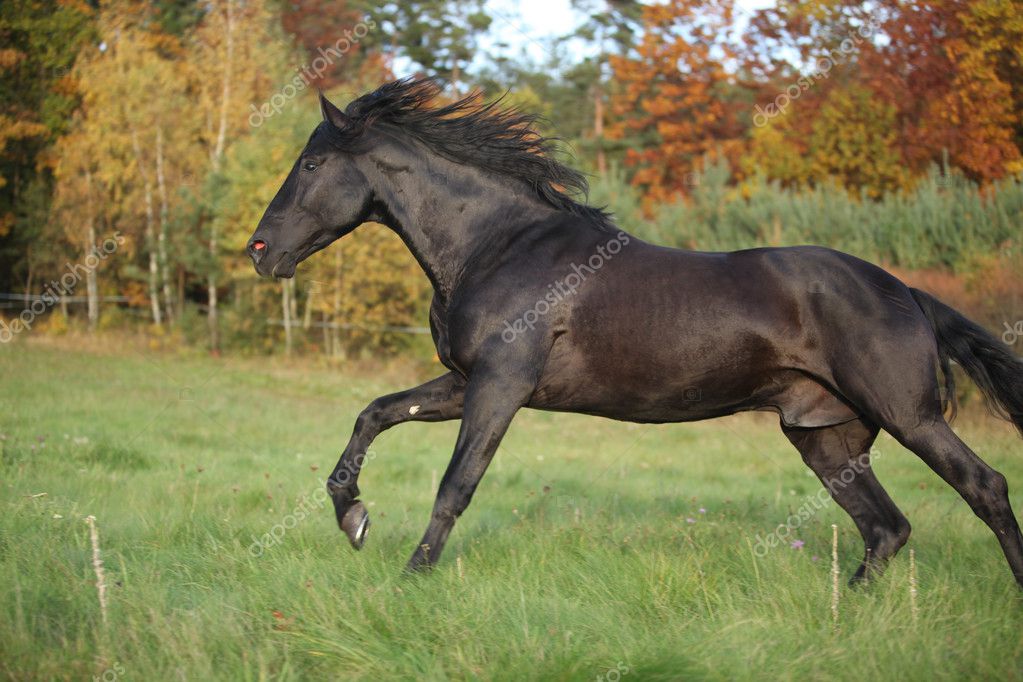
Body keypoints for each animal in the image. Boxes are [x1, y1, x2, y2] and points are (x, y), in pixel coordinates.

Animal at [247, 77, 1023, 585]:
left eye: (311, 163)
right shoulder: (465, 381)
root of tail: (906, 292)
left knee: (982, 487)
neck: (498, 246)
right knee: (886, 528)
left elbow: (455, 483)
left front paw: (411, 577)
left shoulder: (500, 385)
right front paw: (353, 519)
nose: (259, 250)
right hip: (825, 436)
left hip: (908, 415)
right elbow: (374, 414)